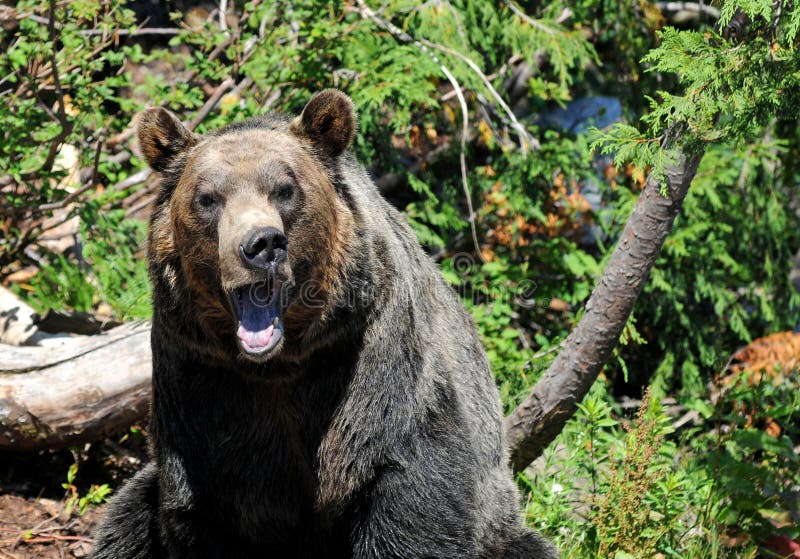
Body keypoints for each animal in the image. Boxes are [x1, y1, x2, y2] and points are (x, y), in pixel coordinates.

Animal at [91, 90, 558, 559]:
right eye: (207, 197)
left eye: (285, 189)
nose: (262, 244)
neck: (278, 366)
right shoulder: (199, 387)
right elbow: (197, 511)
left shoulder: (375, 378)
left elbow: (413, 502)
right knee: (126, 517)